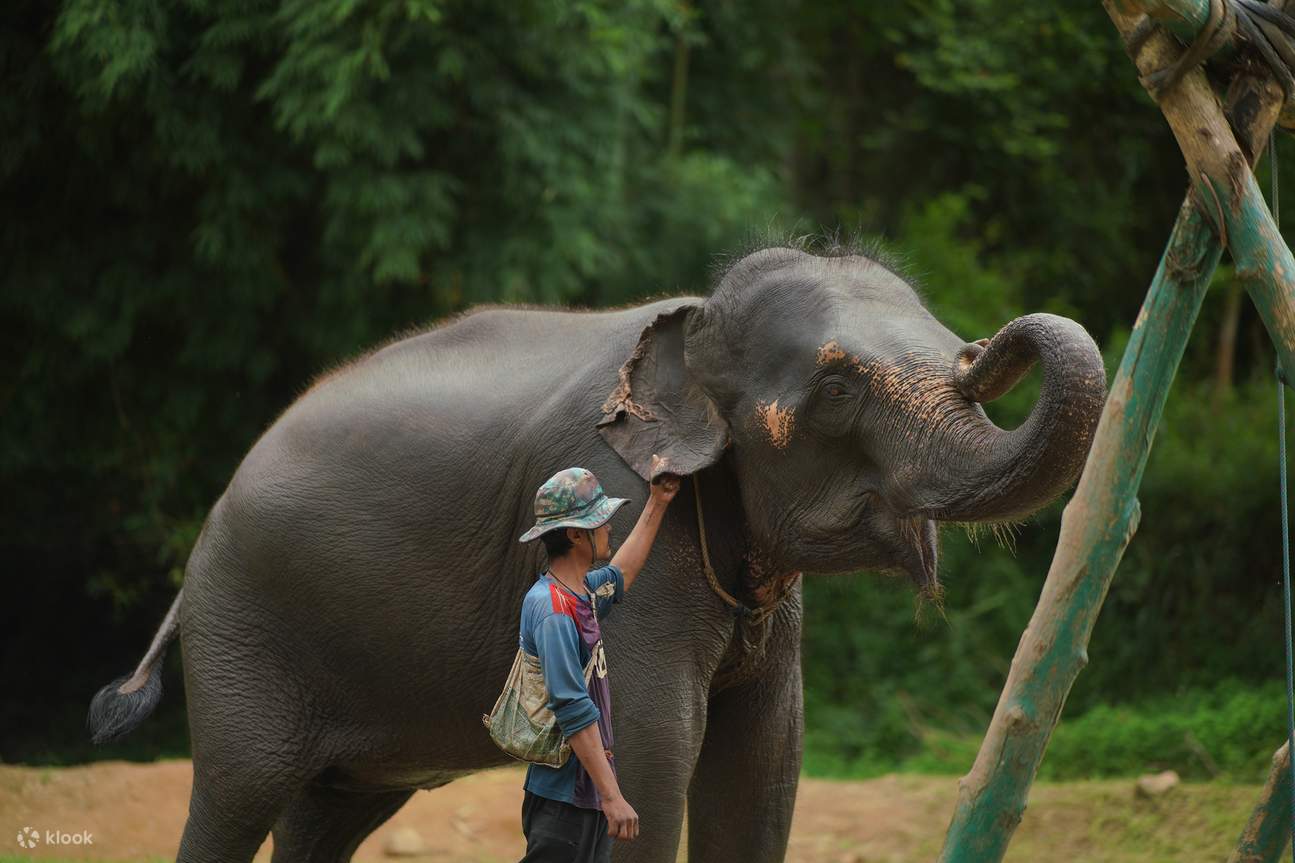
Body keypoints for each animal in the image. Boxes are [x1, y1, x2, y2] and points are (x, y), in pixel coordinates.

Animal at [87, 242, 1107, 863]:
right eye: (835, 390)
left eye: (953, 350)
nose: (991, 343)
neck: (695, 325)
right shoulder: (617, 505)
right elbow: (650, 759)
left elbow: (764, 763)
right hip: (244, 630)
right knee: (238, 791)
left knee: (327, 809)